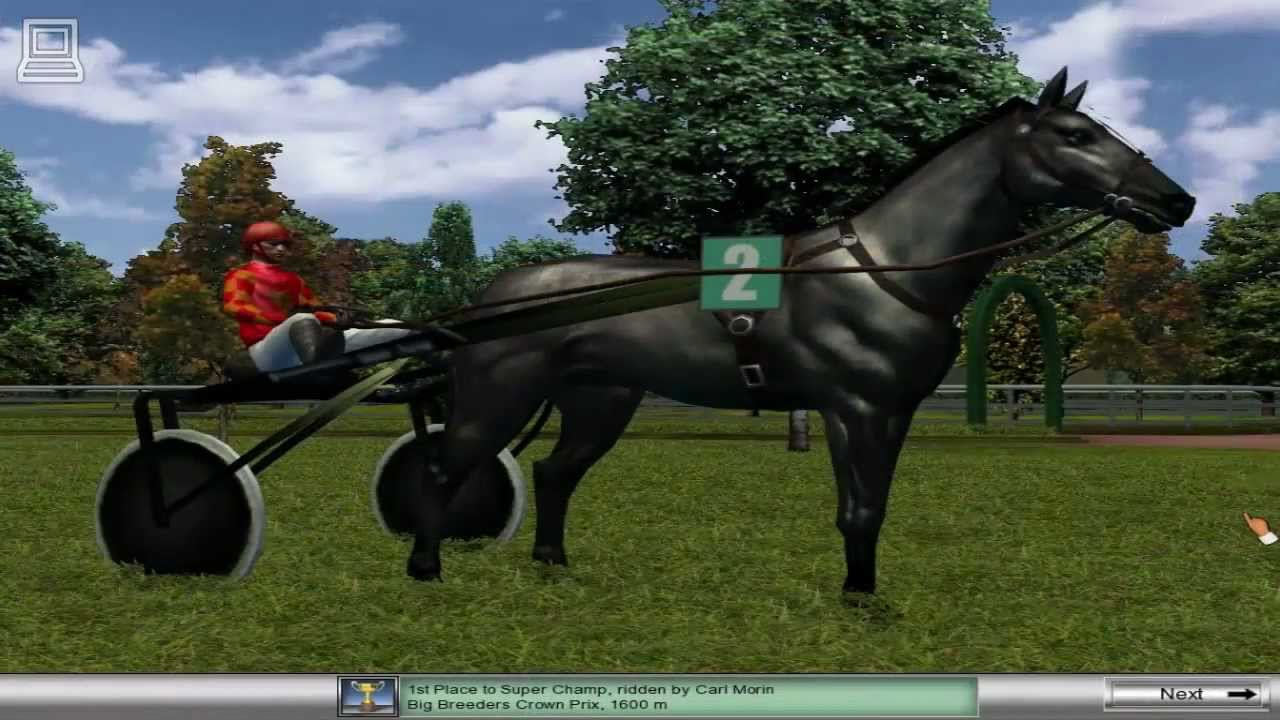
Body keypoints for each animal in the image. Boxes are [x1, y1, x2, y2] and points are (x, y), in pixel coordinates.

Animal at [409, 67, 1196, 600]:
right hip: (500, 396)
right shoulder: (855, 409)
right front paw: (861, 602)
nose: (1176, 201)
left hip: (601, 400)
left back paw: (553, 566)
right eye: (1076, 136)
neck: (889, 267)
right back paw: (425, 570)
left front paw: (863, 592)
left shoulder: (894, 413)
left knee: (553, 473)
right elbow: (858, 510)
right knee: (445, 471)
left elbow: (874, 507)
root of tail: (493, 295)